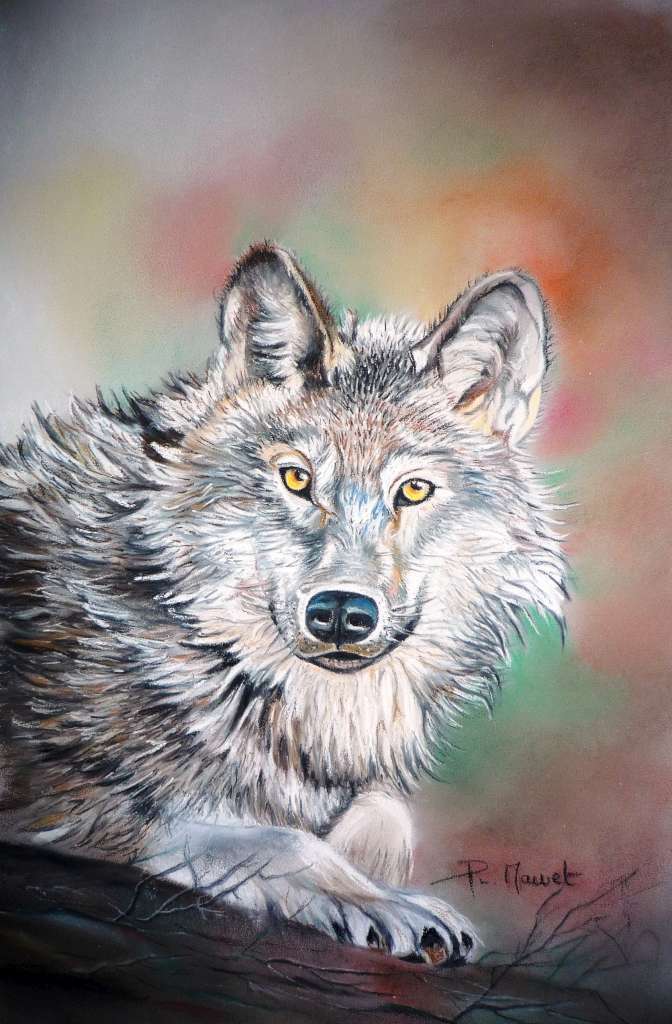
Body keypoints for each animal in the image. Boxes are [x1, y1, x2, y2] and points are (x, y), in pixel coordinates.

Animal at [0, 242, 566, 965]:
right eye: (296, 479)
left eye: (412, 491)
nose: (341, 612)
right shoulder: (72, 804)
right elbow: (279, 840)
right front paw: (383, 904)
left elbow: (383, 815)